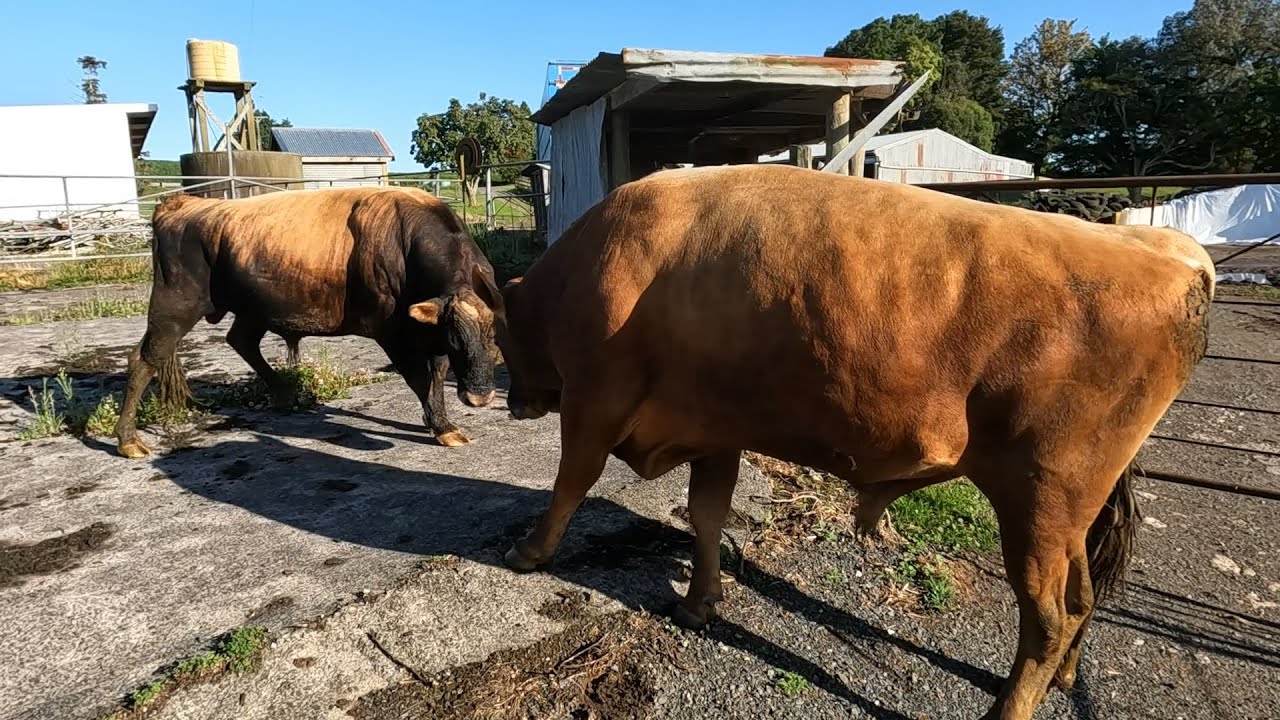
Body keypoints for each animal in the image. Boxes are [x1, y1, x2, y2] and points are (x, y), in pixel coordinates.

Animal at [114, 186, 502, 459]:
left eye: (493, 333)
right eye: (456, 336)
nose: (479, 397)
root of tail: (182, 204)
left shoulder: (427, 334)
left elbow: (436, 376)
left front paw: (437, 421)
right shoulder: (392, 333)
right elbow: (420, 379)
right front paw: (442, 427)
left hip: (254, 308)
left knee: (241, 341)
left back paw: (285, 394)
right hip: (173, 306)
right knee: (144, 360)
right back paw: (128, 439)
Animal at [492, 165, 1214, 720]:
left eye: (500, 335)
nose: (510, 399)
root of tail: (1171, 251)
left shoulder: (594, 399)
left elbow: (571, 481)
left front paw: (529, 551)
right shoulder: (717, 428)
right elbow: (706, 515)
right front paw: (700, 603)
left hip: (1039, 499)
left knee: (1048, 616)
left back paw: (1008, 708)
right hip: (1067, 512)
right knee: (1083, 594)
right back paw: (1064, 679)